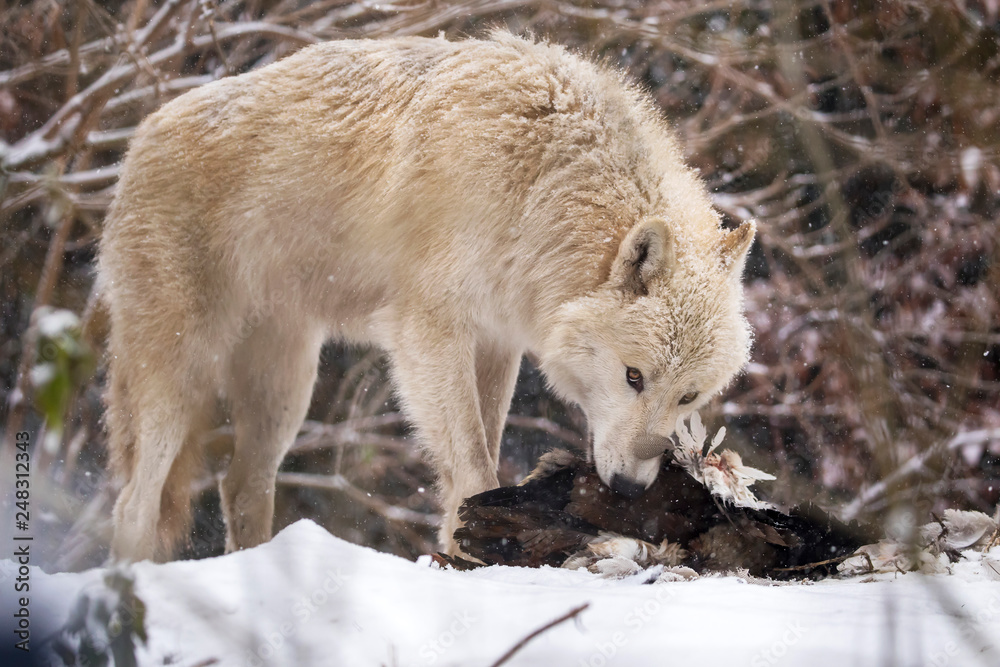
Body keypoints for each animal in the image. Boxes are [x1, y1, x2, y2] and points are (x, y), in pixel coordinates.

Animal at [98, 31, 755, 561]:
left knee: (240, 488)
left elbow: (484, 456)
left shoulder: (497, 343)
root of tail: (139, 139)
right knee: (134, 501)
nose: (629, 491)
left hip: (285, 390)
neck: (538, 185)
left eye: (688, 397)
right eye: (633, 377)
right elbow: (473, 466)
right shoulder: (429, 334)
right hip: (183, 374)